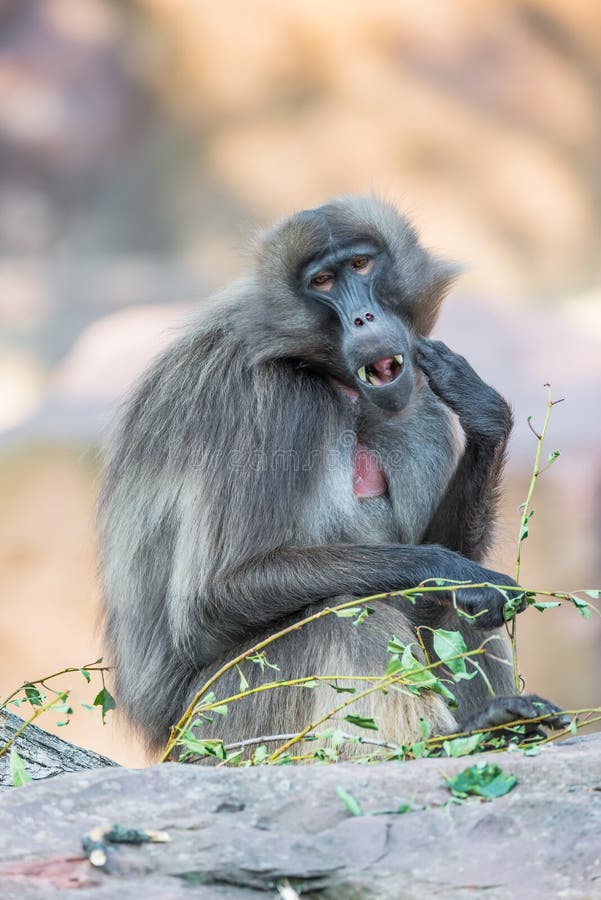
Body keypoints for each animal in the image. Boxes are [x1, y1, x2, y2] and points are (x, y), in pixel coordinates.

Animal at [98, 195, 567, 760]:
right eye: (322, 281)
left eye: (361, 264)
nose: (364, 317)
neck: (328, 379)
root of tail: (166, 741)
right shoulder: (276, 404)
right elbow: (213, 595)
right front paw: (455, 571)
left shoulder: (421, 404)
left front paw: (485, 415)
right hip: (221, 728)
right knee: (343, 610)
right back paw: (441, 741)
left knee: (455, 612)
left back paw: (494, 729)